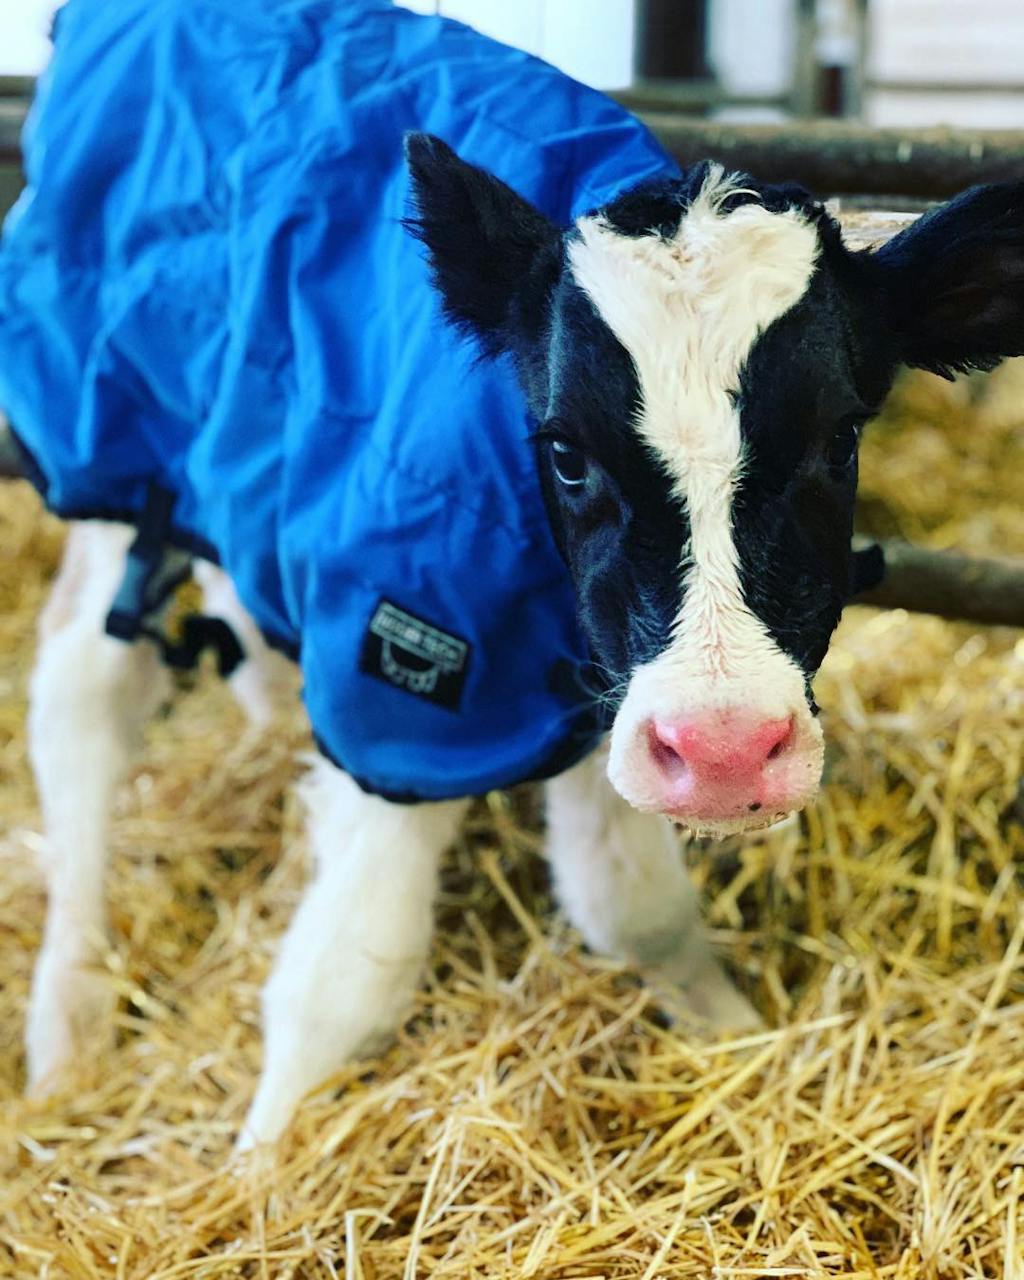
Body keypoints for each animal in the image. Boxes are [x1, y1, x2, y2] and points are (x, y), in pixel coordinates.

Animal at [1, 0, 1022, 1151]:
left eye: (841, 439)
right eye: (565, 450)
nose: (724, 753)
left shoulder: (602, 685)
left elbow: (632, 903)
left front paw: (730, 1036)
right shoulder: (405, 694)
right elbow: (348, 971)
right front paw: (264, 1159)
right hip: (109, 440)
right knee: (82, 696)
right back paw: (68, 1021)